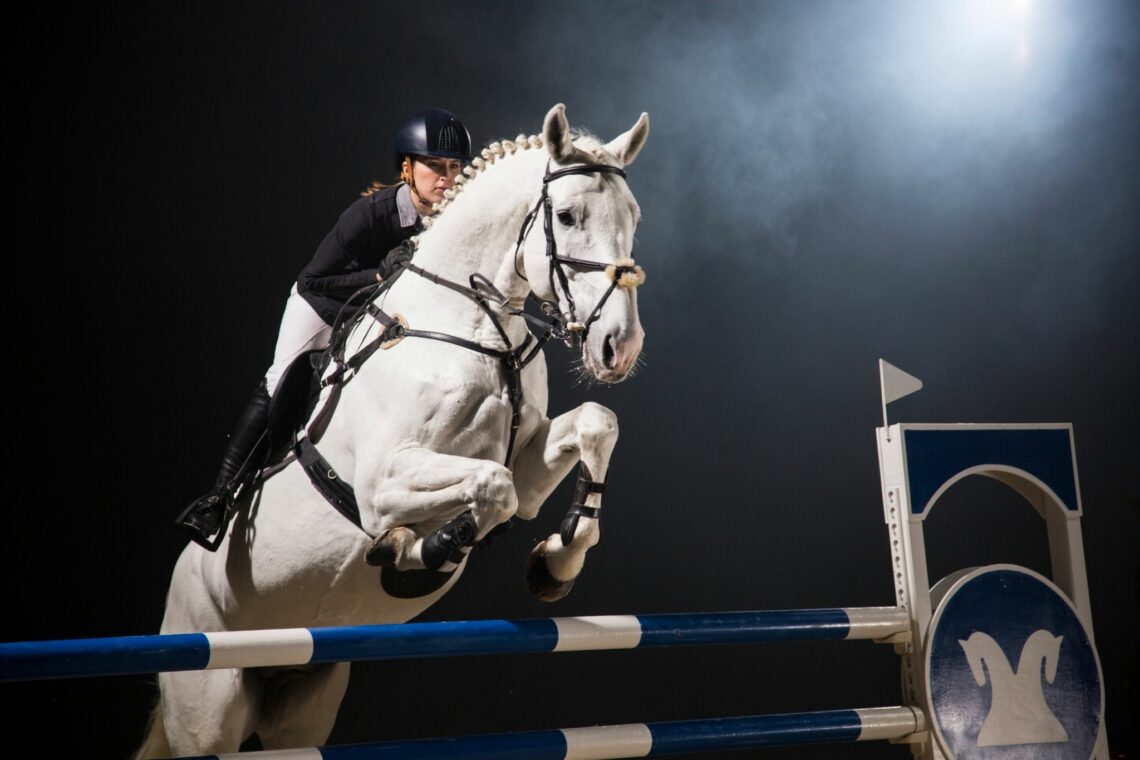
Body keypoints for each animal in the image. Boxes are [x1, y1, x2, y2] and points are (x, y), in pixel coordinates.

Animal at [135, 103, 650, 757]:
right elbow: (493, 485)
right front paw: (420, 549)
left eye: (633, 218)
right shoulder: (381, 485)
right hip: (208, 698)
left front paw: (556, 562)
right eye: (566, 216)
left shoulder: (531, 465)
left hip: (302, 698)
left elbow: (592, 427)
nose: (620, 347)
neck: (474, 324)